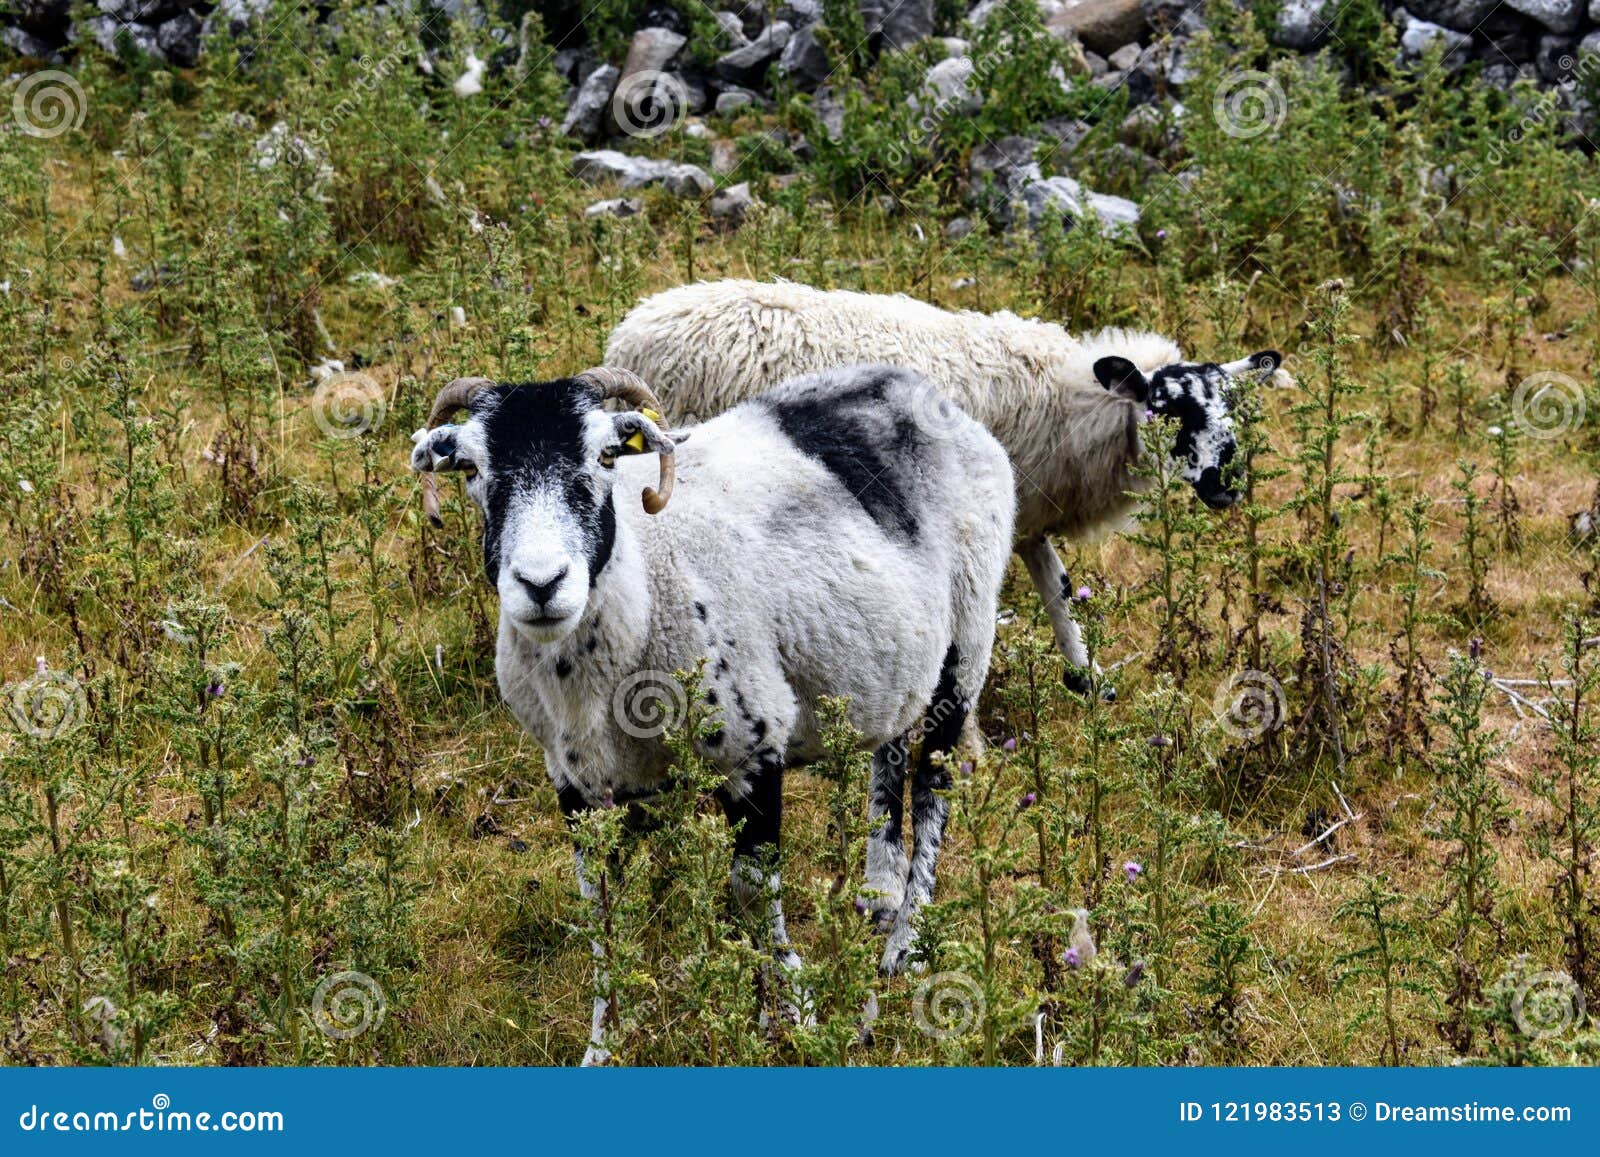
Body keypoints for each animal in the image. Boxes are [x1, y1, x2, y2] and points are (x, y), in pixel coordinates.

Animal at [410, 362, 1015, 1063]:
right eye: (471, 467)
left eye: (606, 456)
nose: (541, 584)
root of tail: (917, 388)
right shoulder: (574, 782)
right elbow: (600, 910)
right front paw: (606, 1042)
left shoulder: (753, 746)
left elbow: (750, 887)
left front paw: (794, 1012)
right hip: (889, 662)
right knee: (888, 753)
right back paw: (878, 895)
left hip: (967, 641)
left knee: (934, 782)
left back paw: (904, 949)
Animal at [605, 279, 1282, 693]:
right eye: (1166, 409)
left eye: (1231, 408)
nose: (1226, 485)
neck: (1068, 402)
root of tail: (633, 327)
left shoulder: (1026, 518)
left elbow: (1060, 592)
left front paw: (1089, 680)